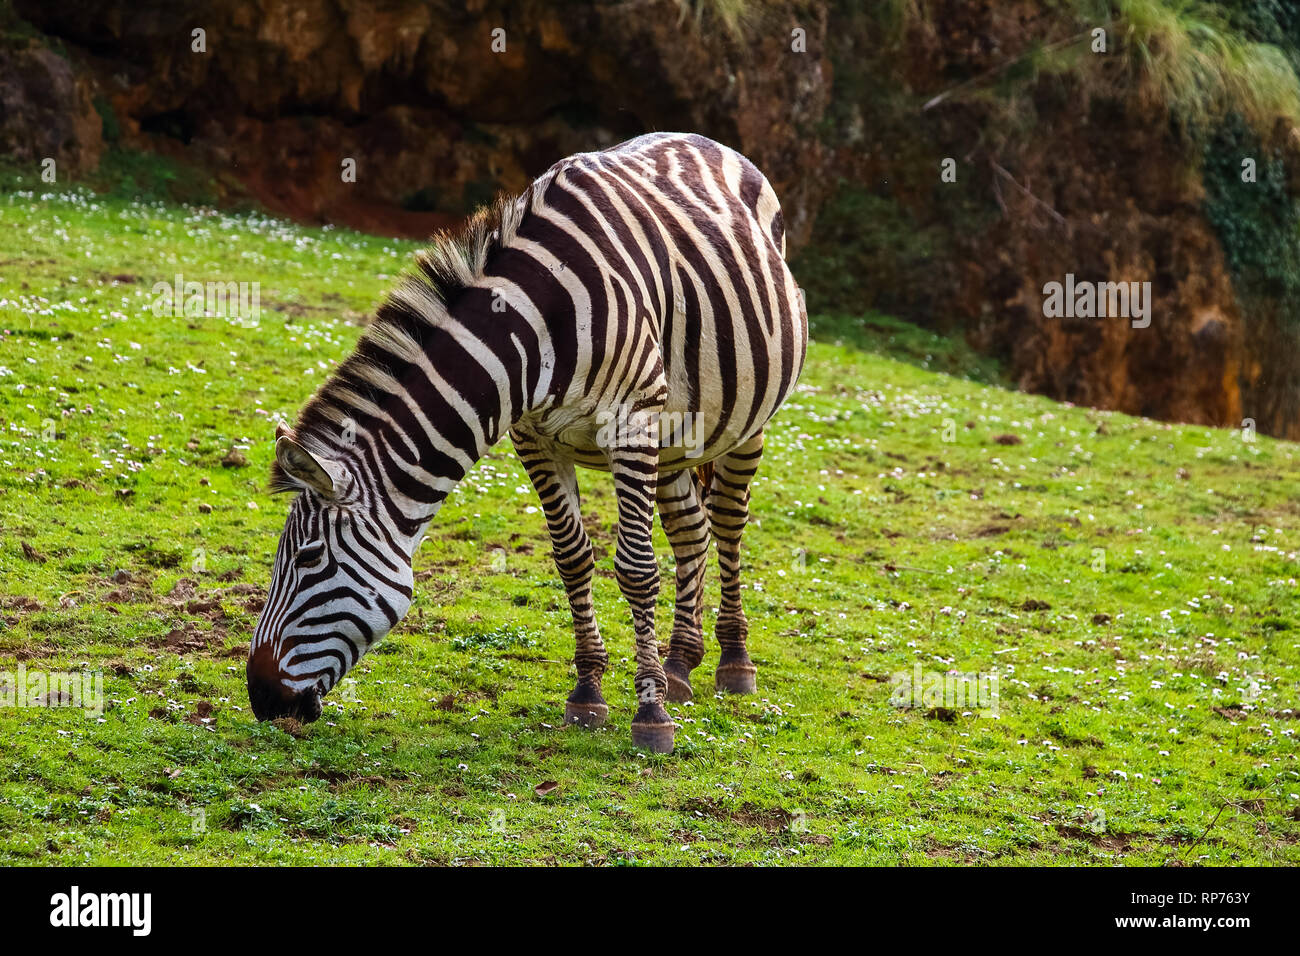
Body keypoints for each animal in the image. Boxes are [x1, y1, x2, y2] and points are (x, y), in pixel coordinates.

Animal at [247, 132, 807, 753]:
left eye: (307, 558)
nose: (260, 697)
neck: (541, 320)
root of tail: (707, 141)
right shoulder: (534, 436)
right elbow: (572, 558)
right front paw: (588, 693)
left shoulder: (631, 422)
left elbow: (636, 568)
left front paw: (650, 713)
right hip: (675, 436)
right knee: (690, 531)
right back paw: (681, 664)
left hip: (742, 424)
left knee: (728, 522)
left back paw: (732, 661)